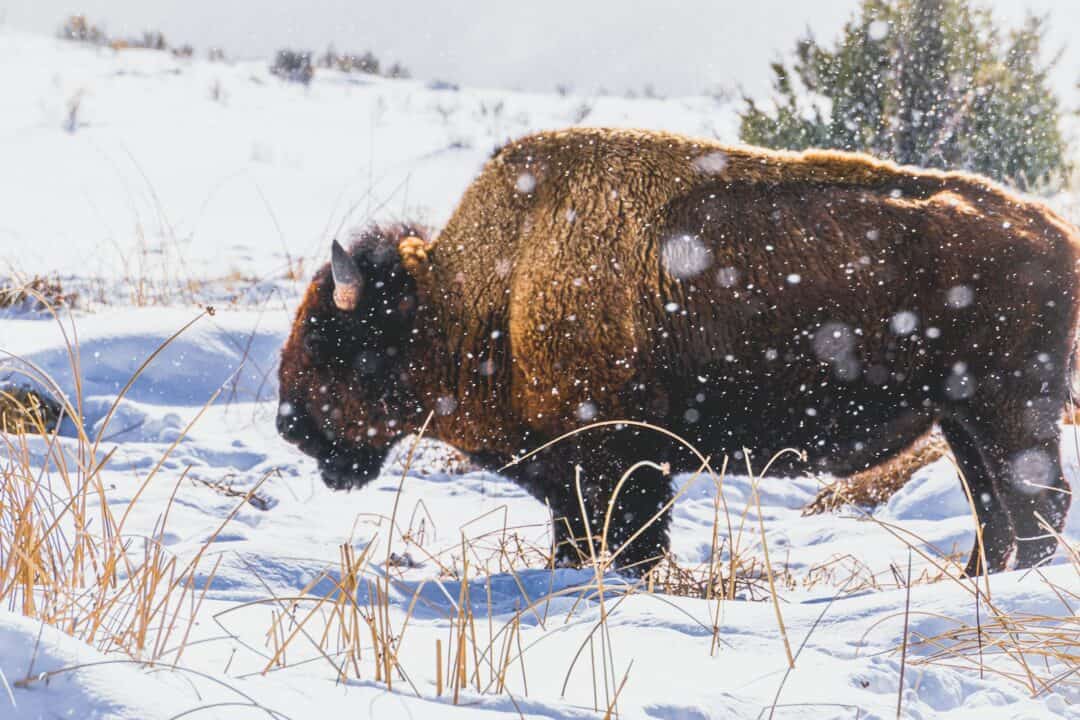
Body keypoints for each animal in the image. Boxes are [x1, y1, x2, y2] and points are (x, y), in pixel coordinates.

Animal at [278, 127, 1078, 576]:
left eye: (329, 339)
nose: (290, 425)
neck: (486, 291)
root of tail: (1055, 231)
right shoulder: (572, 478)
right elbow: (575, 543)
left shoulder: (617, 465)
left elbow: (629, 542)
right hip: (962, 421)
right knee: (995, 512)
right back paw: (970, 583)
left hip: (1011, 413)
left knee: (1033, 507)